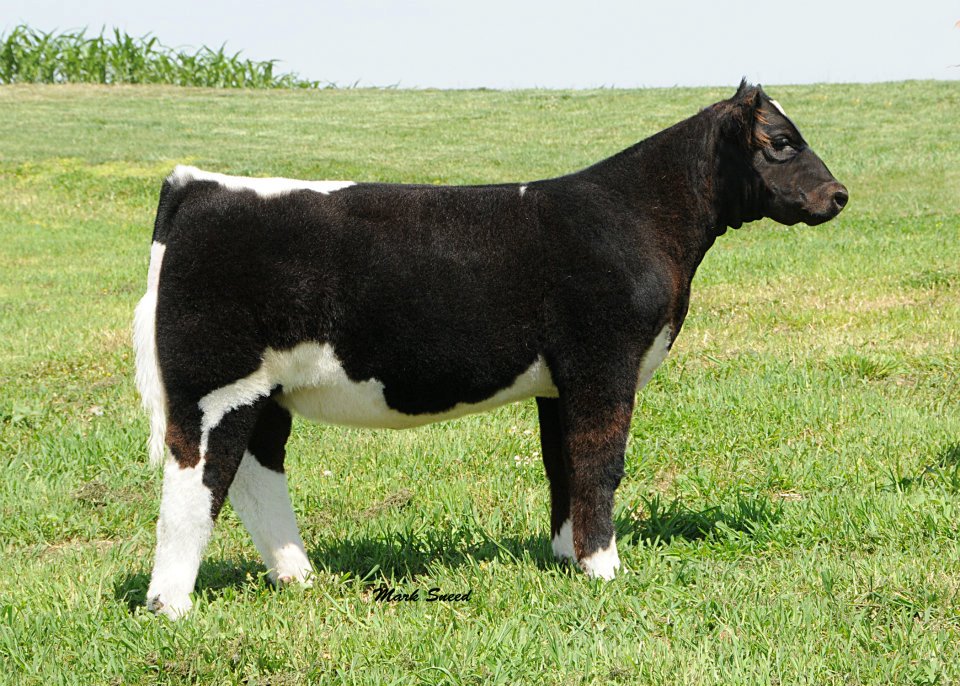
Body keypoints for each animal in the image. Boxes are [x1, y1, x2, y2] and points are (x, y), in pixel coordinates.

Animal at [133, 81, 847, 618]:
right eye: (781, 143)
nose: (838, 195)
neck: (640, 219)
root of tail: (196, 185)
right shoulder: (603, 364)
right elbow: (601, 463)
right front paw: (604, 568)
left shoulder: (560, 381)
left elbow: (563, 463)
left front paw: (567, 557)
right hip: (213, 386)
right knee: (196, 480)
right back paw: (171, 605)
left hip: (264, 393)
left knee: (256, 472)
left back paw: (299, 578)